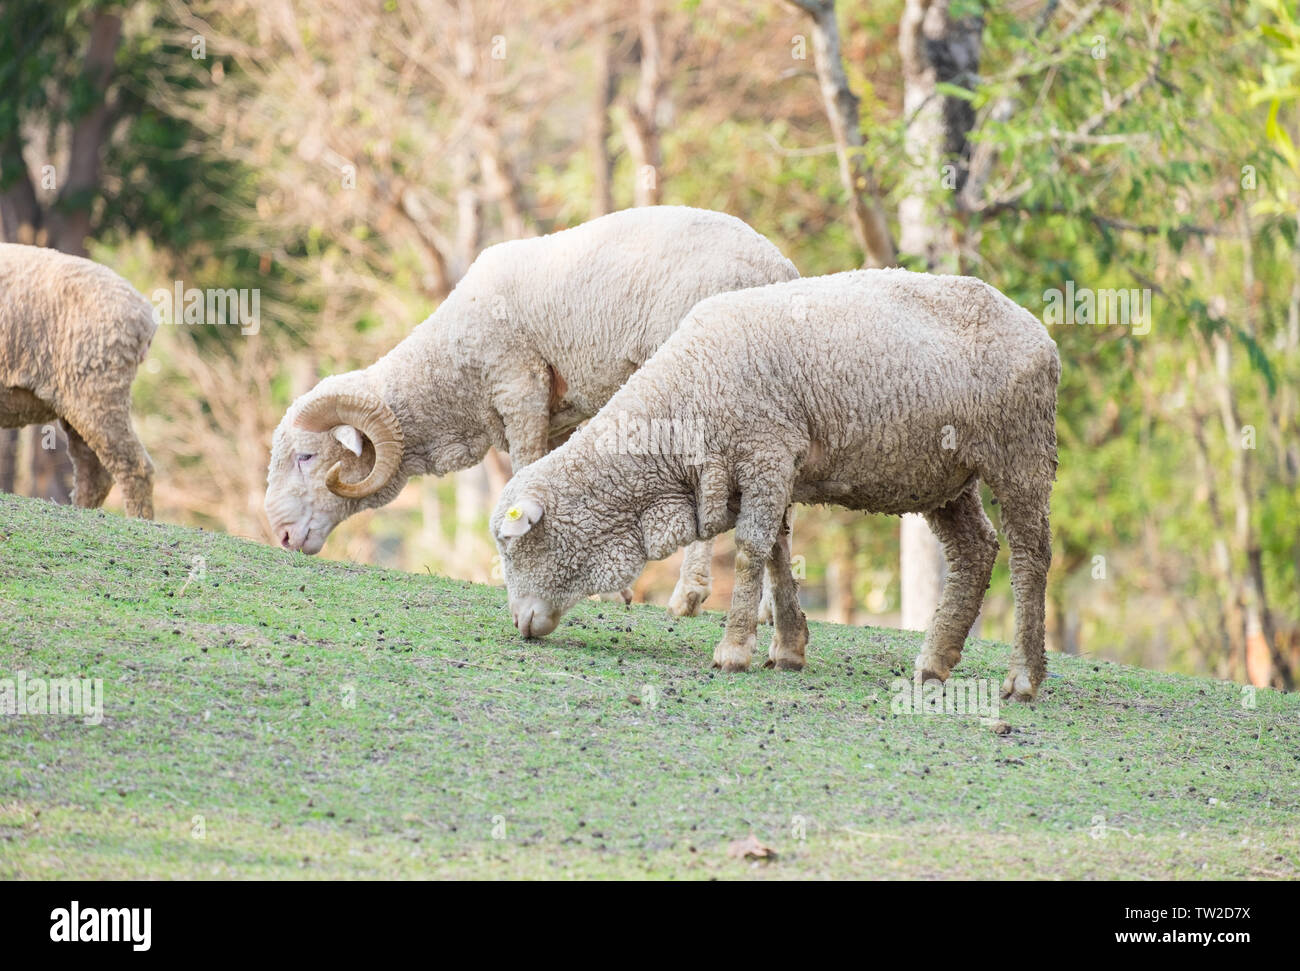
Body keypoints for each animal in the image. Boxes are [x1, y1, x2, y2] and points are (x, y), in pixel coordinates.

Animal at [0, 243, 156, 518]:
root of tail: (144, 313)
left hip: (96, 389)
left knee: (135, 466)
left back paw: (140, 520)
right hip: (80, 396)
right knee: (93, 471)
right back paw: (82, 511)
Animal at [264, 206, 799, 615]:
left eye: (307, 457)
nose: (284, 537)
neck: (450, 367)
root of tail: (780, 268)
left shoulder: (519, 388)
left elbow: (525, 471)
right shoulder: (558, 415)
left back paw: (688, 596)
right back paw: (769, 611)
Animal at [491, 268, 1060, 702]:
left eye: (514, 545)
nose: (520, 624)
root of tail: (1037, 328)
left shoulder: (765, 452)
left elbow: (749, 551)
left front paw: (732, 651)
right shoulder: (774, 466)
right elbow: (777, 554)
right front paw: (787, 648)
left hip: (1022, 450)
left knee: (1031, 559)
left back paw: (1023, 678)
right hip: (943, 474)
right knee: (976, 550)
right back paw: (934, 662)